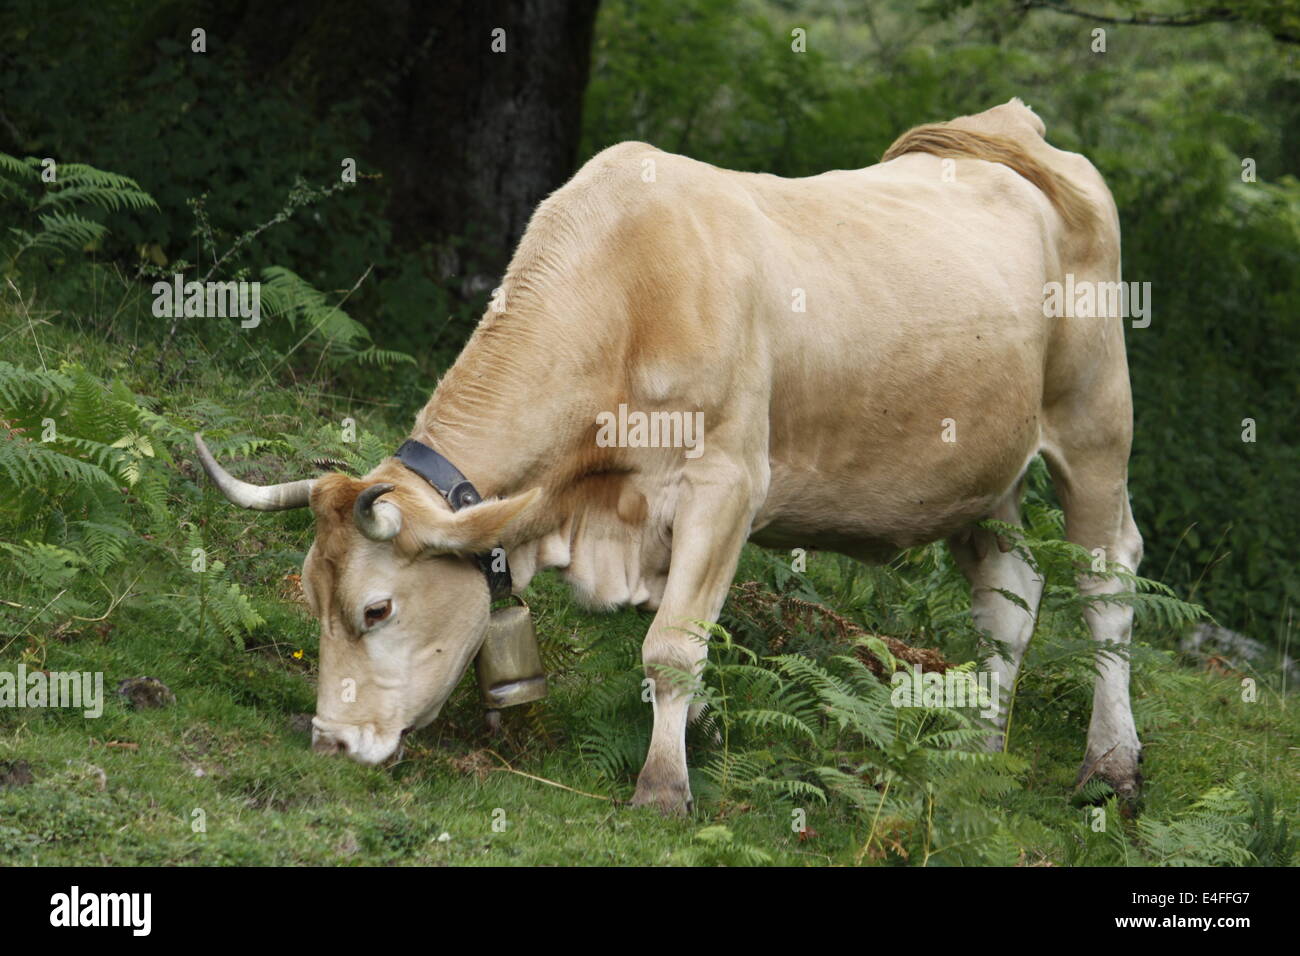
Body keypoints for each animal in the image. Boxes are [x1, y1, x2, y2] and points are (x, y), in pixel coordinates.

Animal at [195, 98, 1144, 814]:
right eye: (311, 597)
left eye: (378, 609)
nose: (330, 740)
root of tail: (1012, 128)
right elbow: (690, 636)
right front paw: (704, 741)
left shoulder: (729, 483)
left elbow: (673, 646)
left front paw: (663, 790)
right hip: (986, 473)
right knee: (1010, 593)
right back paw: (980, 751)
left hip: (1096, 424)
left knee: (1107, 582)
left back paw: (1111, 768)